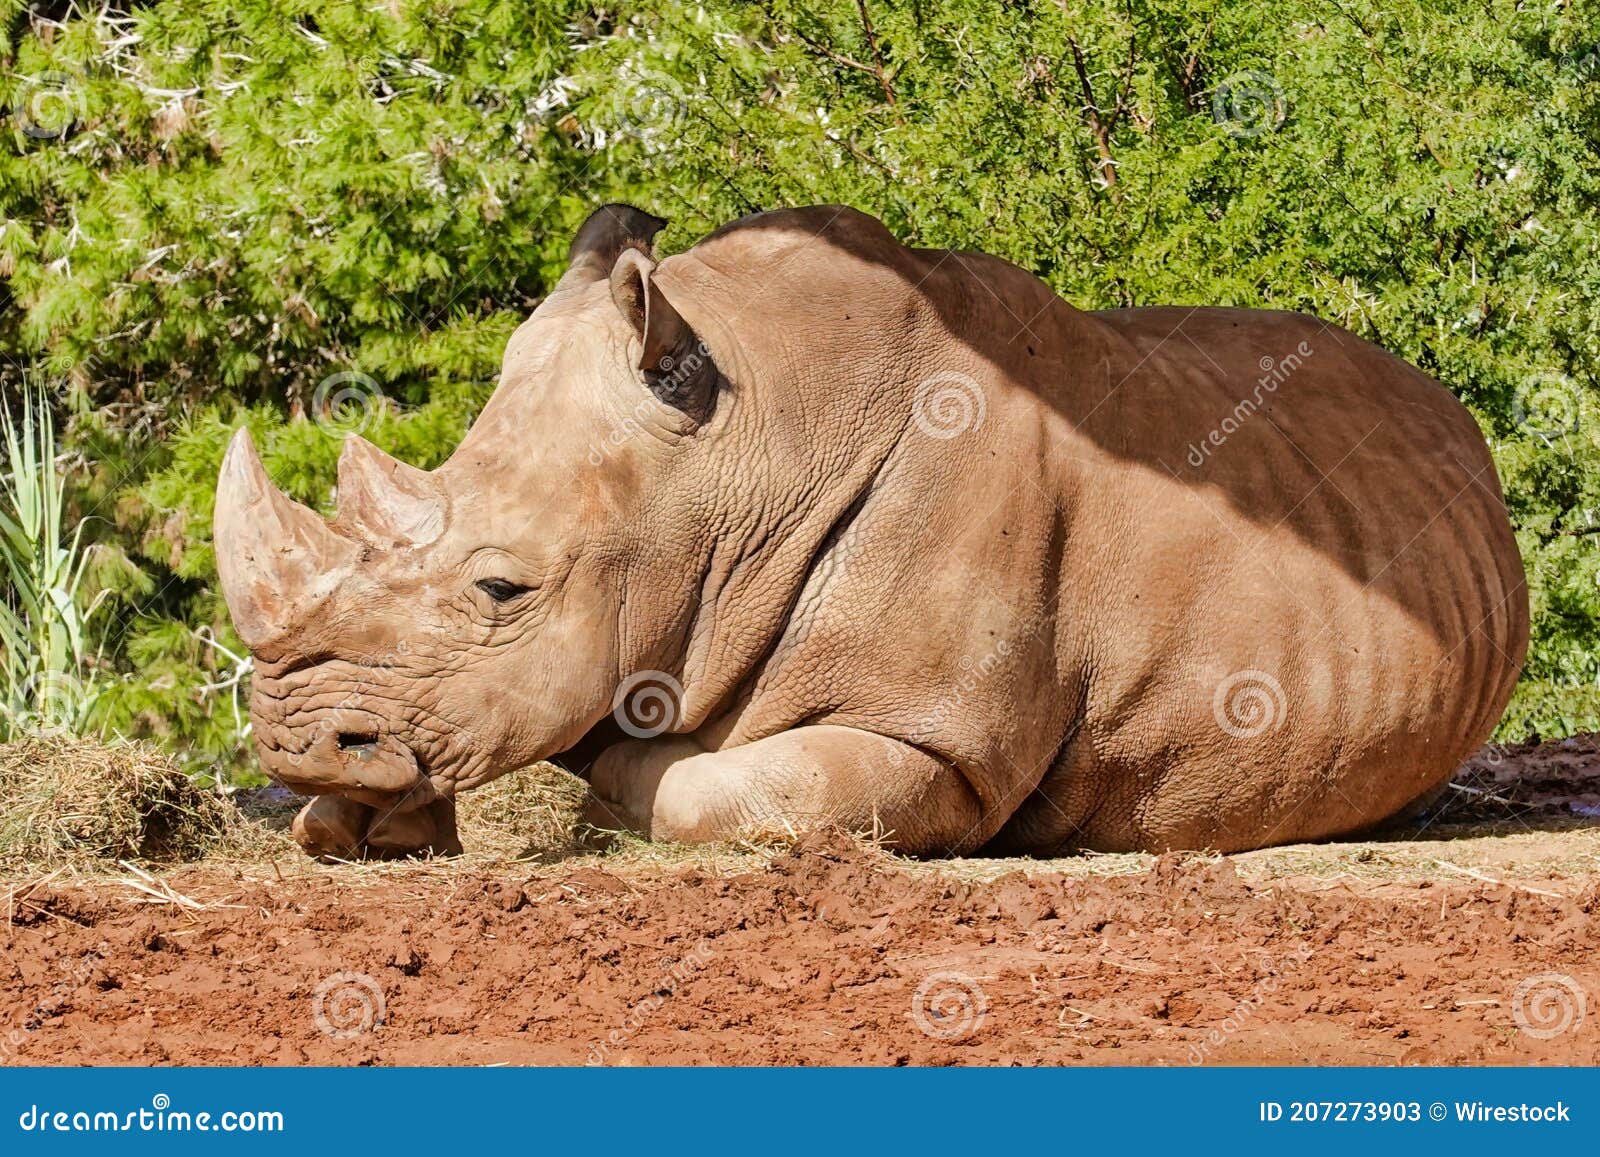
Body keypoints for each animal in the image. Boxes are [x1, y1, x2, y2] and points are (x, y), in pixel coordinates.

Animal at [214, 204, 1528, 860]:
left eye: (500, 589)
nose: (293, 736)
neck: (738, 453)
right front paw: (356, 821)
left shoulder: (937, 741)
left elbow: (697, 785)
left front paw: (621, 788)